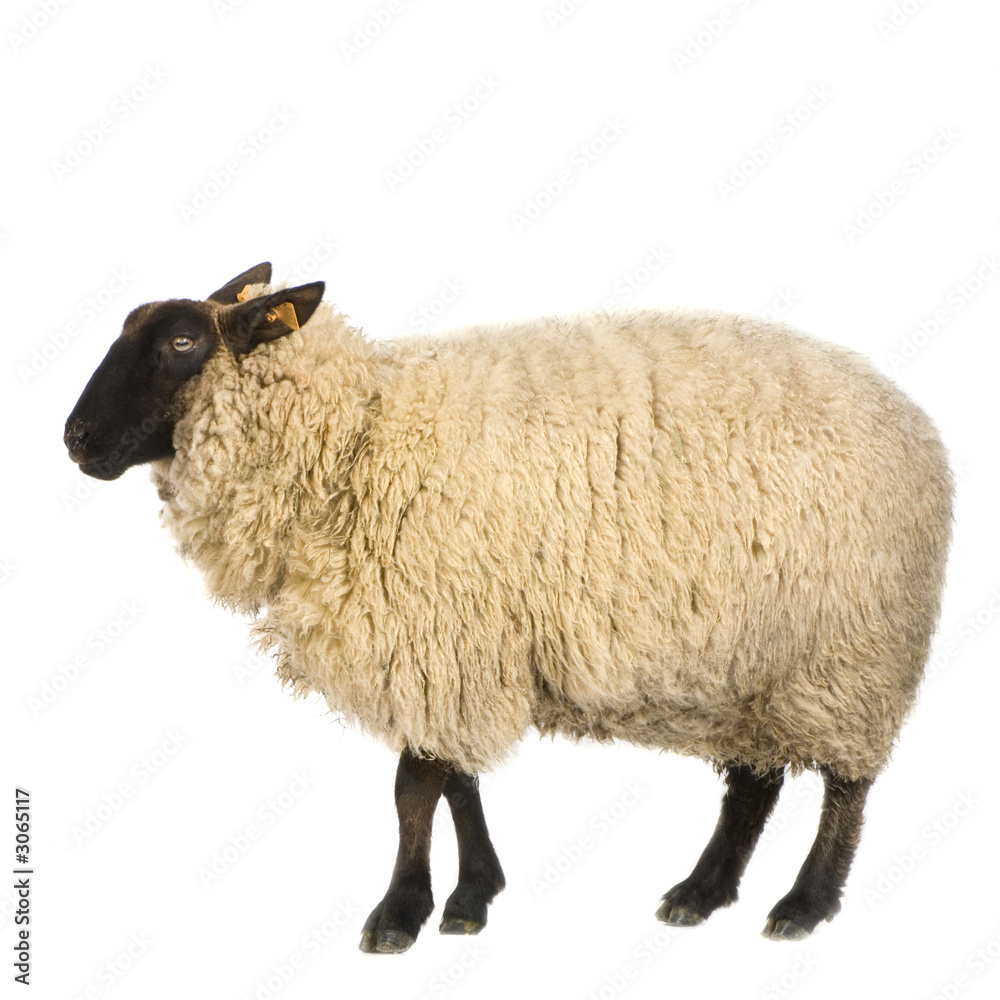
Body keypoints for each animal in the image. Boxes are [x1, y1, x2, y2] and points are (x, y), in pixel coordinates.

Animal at [65, 261, 953, 952]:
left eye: (183, 343)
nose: (74, 439)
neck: (355, 437)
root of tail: (911, 416)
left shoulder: (441, 626)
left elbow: (414, 788)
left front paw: (400, 914)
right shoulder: (457, 642)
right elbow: (453, 779)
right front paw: (470, 897)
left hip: (848, 652)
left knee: (847, 785)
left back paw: (806, 903)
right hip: (752, 661)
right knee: (755, 784)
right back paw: (701, 892)